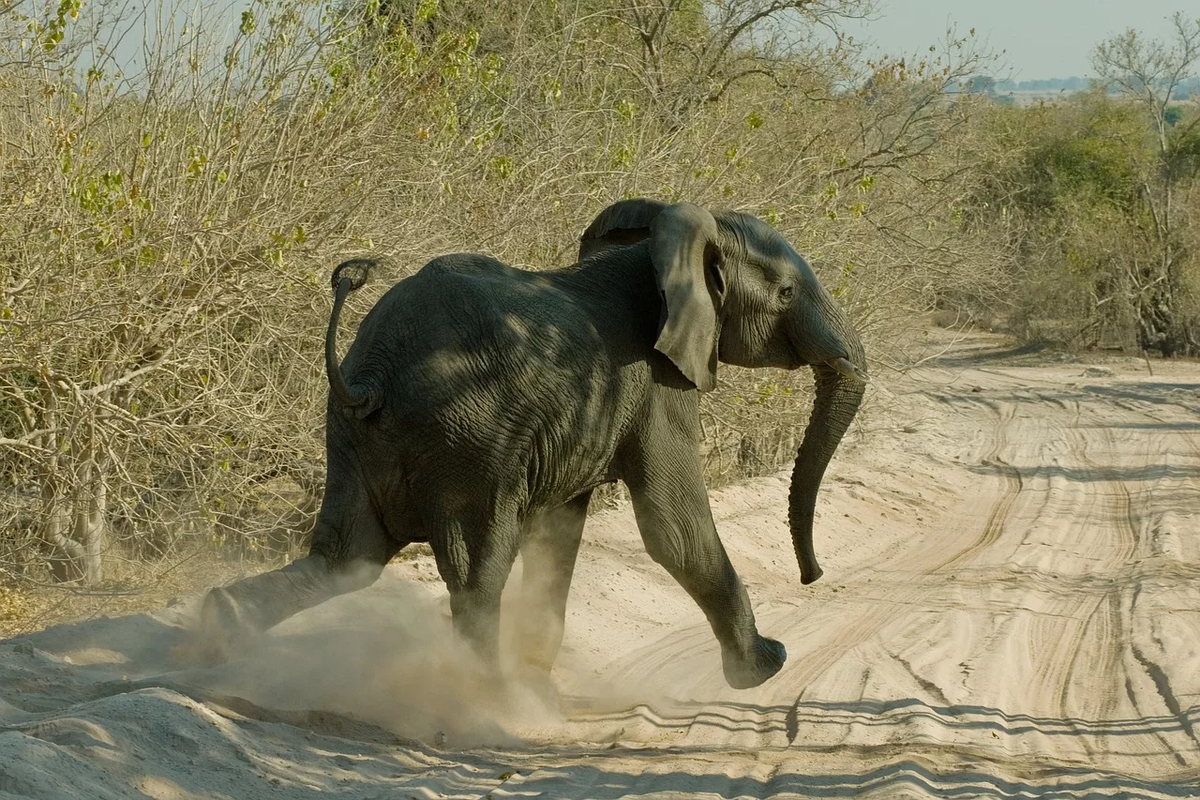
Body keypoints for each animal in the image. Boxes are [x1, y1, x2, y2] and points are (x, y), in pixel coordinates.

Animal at [199, 199, 873, 690]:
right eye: (786, 294)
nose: (813, 576)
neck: (664, 245)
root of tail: (372, 374)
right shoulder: (660, 382)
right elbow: (673, 530)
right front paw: (766, 667)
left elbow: (559, 532)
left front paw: (540, 677)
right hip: (468, 439)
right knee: (477, 571)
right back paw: (487, 696)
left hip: (354, 436)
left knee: (347, 557)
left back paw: (217, 630)